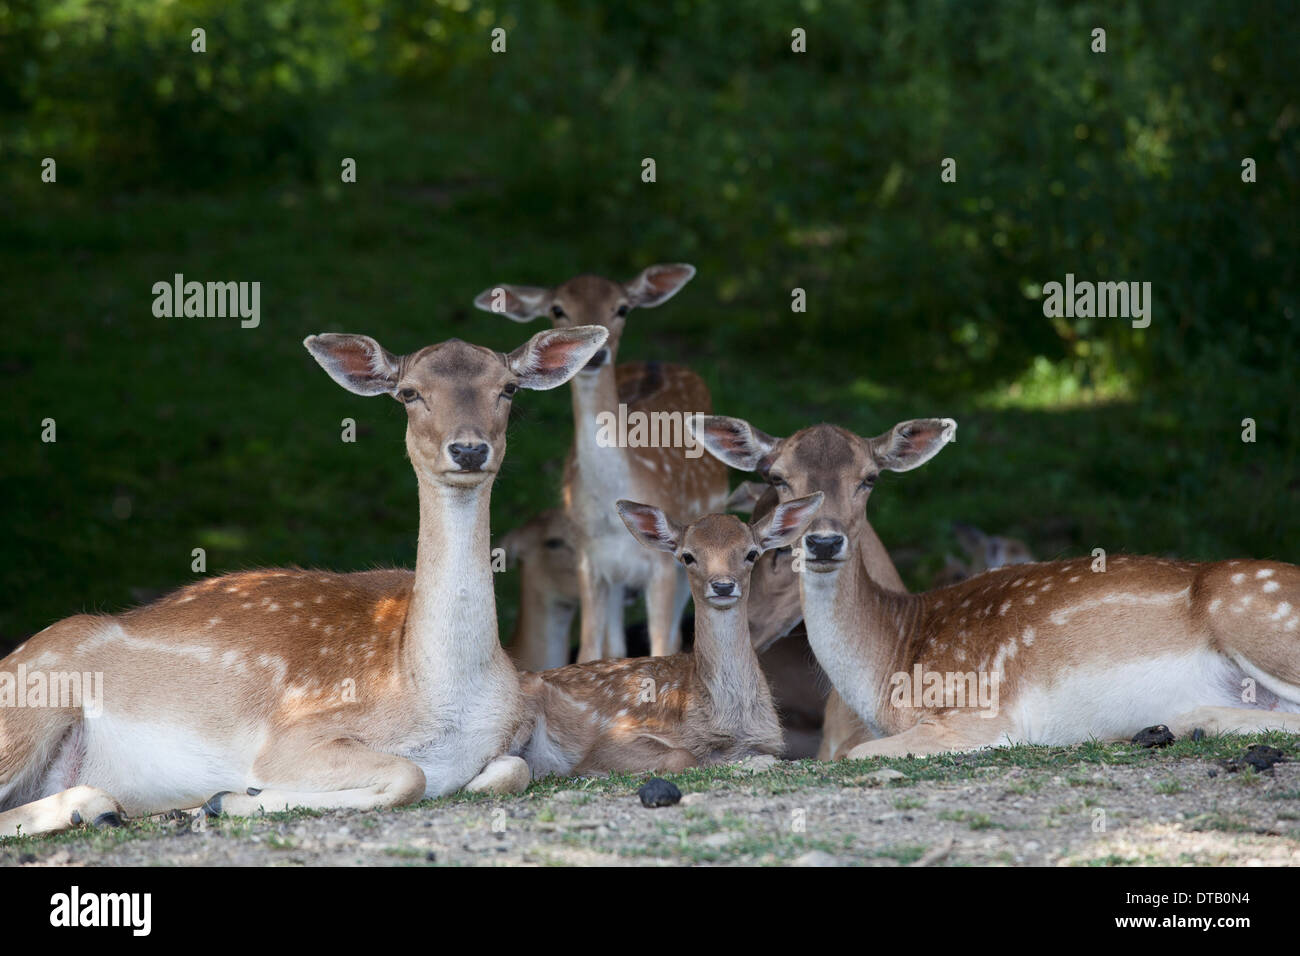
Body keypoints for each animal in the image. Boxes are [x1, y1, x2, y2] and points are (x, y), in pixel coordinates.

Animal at [0, 325, 608, 838]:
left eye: (508, 388)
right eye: (409, 392)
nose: (468, 448)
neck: (444, 696)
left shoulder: (509, 744)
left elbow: (508, 773)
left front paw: (205, 805)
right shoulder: (295, 736)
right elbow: (407, 776)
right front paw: (223, 799)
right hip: (28, 707)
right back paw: (94, 806)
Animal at [473, 265, 728, 661]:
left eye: (622, 308)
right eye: (558, 309)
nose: (597, 354)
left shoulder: (661, 565)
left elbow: (661, 647)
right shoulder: (591, 561)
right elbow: (591, 652)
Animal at [515, 494, 824, 776]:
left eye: (751, 553)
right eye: (688, 556)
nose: (723, 585)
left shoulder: (770, 740)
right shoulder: (615, 736)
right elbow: (682, 755)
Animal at [696, 415, 1300, 758]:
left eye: (869, 478)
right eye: (778, 477)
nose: (823, 542)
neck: (891, 663)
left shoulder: (977, 710)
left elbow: (854, 756)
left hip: (1255, 613)